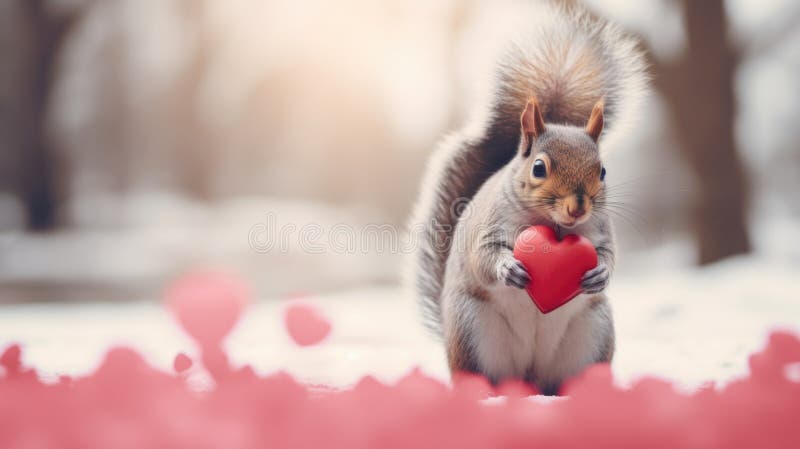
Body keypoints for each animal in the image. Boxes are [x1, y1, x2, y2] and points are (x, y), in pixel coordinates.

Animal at [409, 5, 647, 395]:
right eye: (538, 168)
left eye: (602, 171)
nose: (577, 207)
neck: (554, 226)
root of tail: (528, 380)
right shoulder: (489, 226)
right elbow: (484, 256)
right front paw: (508, 268)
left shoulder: (601, 231)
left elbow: (609, 257)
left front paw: (599, 274)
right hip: (473, 332)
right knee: (479, 374)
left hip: (592, 334)